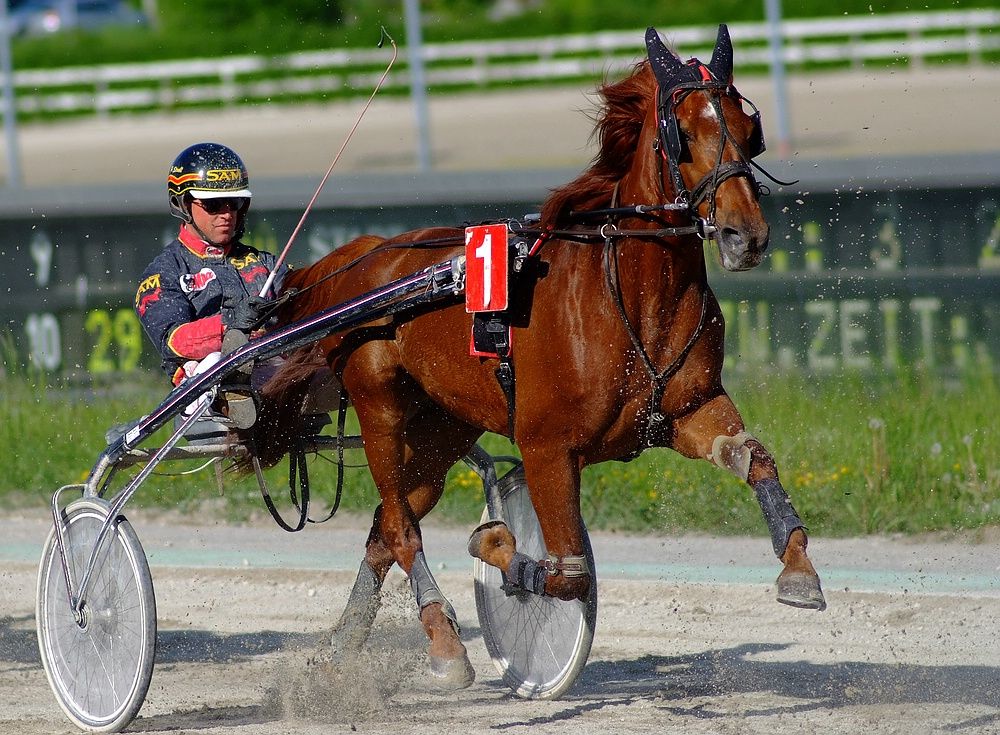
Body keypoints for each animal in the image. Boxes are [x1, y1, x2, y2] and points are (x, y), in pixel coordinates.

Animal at [250, 24, 826, 688]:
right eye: (681, 132)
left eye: (747, 125)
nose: (744, 235)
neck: (628, 296)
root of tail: (360, 259)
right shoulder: (547, 446)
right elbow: (566, 570)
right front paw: (496, 548)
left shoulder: (689, 410)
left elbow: (755, 458)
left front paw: (799, 572)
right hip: (380, 408)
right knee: (398, 526)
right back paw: (445, 644)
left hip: (443, 424)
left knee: (386, 525)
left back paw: (344, 643)